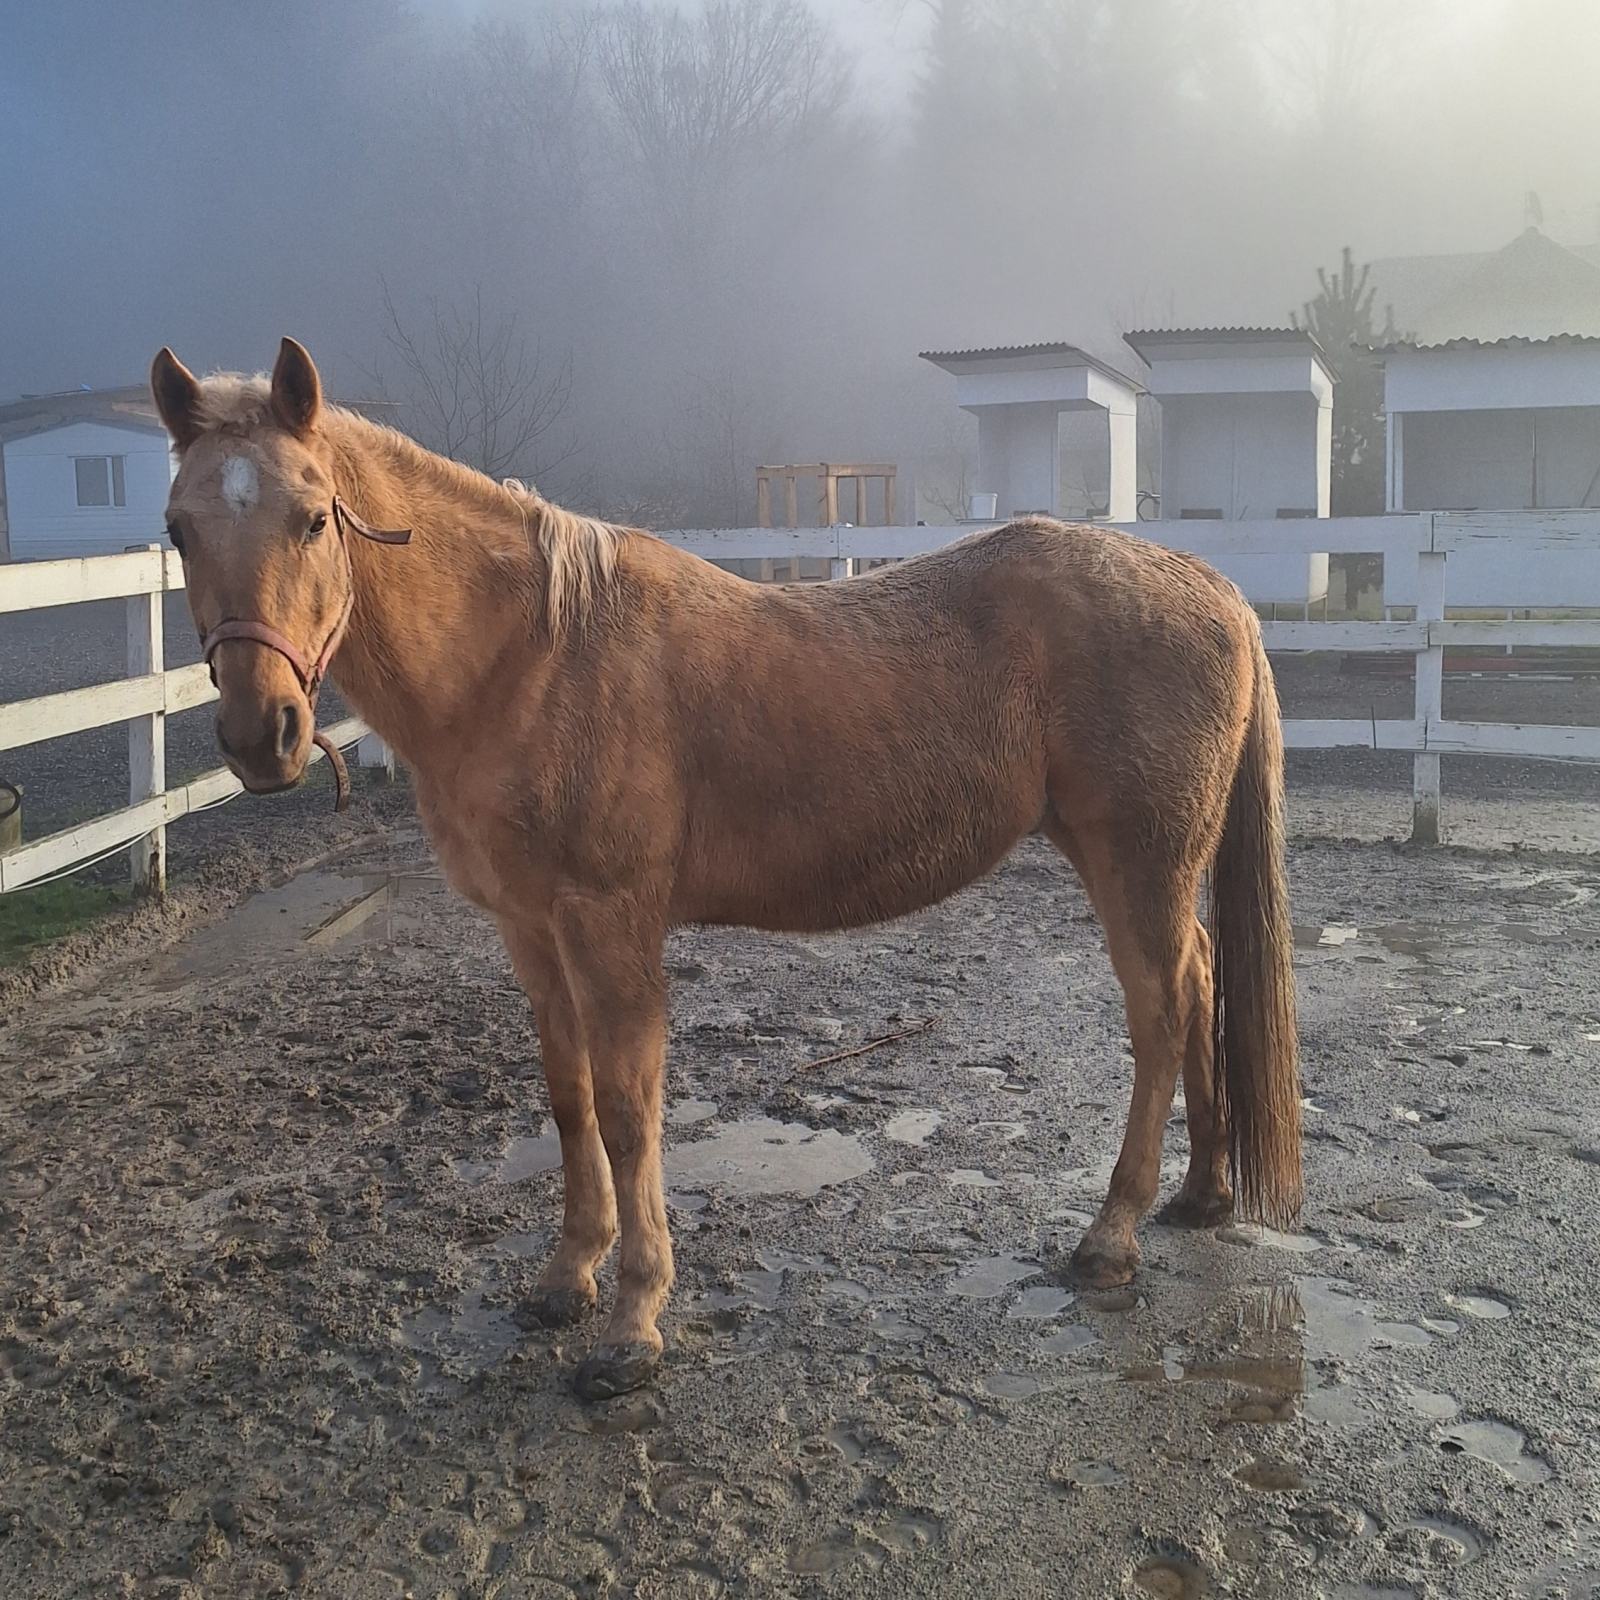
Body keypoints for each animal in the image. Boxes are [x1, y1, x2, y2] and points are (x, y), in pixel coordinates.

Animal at [152, 337, 1301, 1401]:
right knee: (1201, 979)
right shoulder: (531, 931)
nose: (260, 732)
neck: (533, 658)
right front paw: (565, 1276)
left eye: (313, 518)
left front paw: (632, 1324)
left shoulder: (611, 927)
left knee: (1163, 1011)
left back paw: (1112, 1234)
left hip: (1135, 862)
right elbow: (568, 1096)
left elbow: (628, 1110)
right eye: (178, 529)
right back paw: (1199, 1192)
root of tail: (1215, 589)